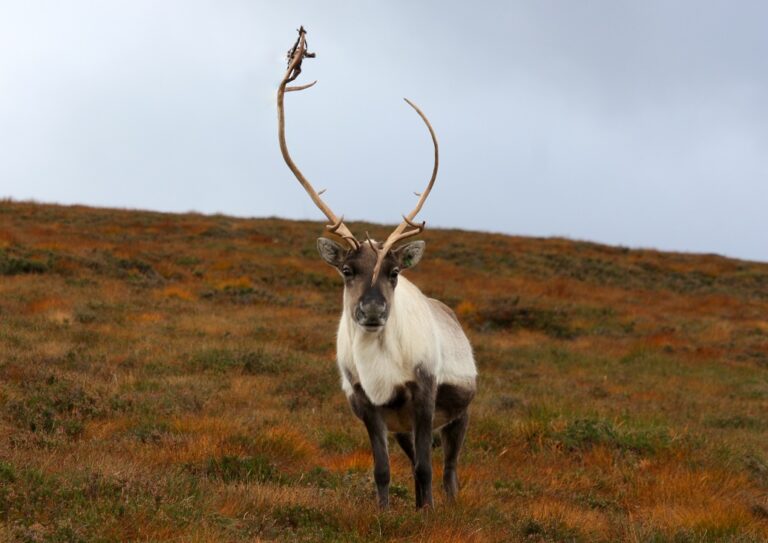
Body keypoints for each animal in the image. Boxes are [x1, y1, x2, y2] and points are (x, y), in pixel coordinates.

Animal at [277, 27, 477, 509]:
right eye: (347, 270)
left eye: (394, 273)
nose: (371, 312)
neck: (378, 366)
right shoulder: (366, 405)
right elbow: (383, 470)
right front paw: (385, 514)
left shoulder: (424, 395)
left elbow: (425, 469)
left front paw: (427, 515)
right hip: (402, 425)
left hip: (460, 413)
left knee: (448, 467)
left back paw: (449, 503)